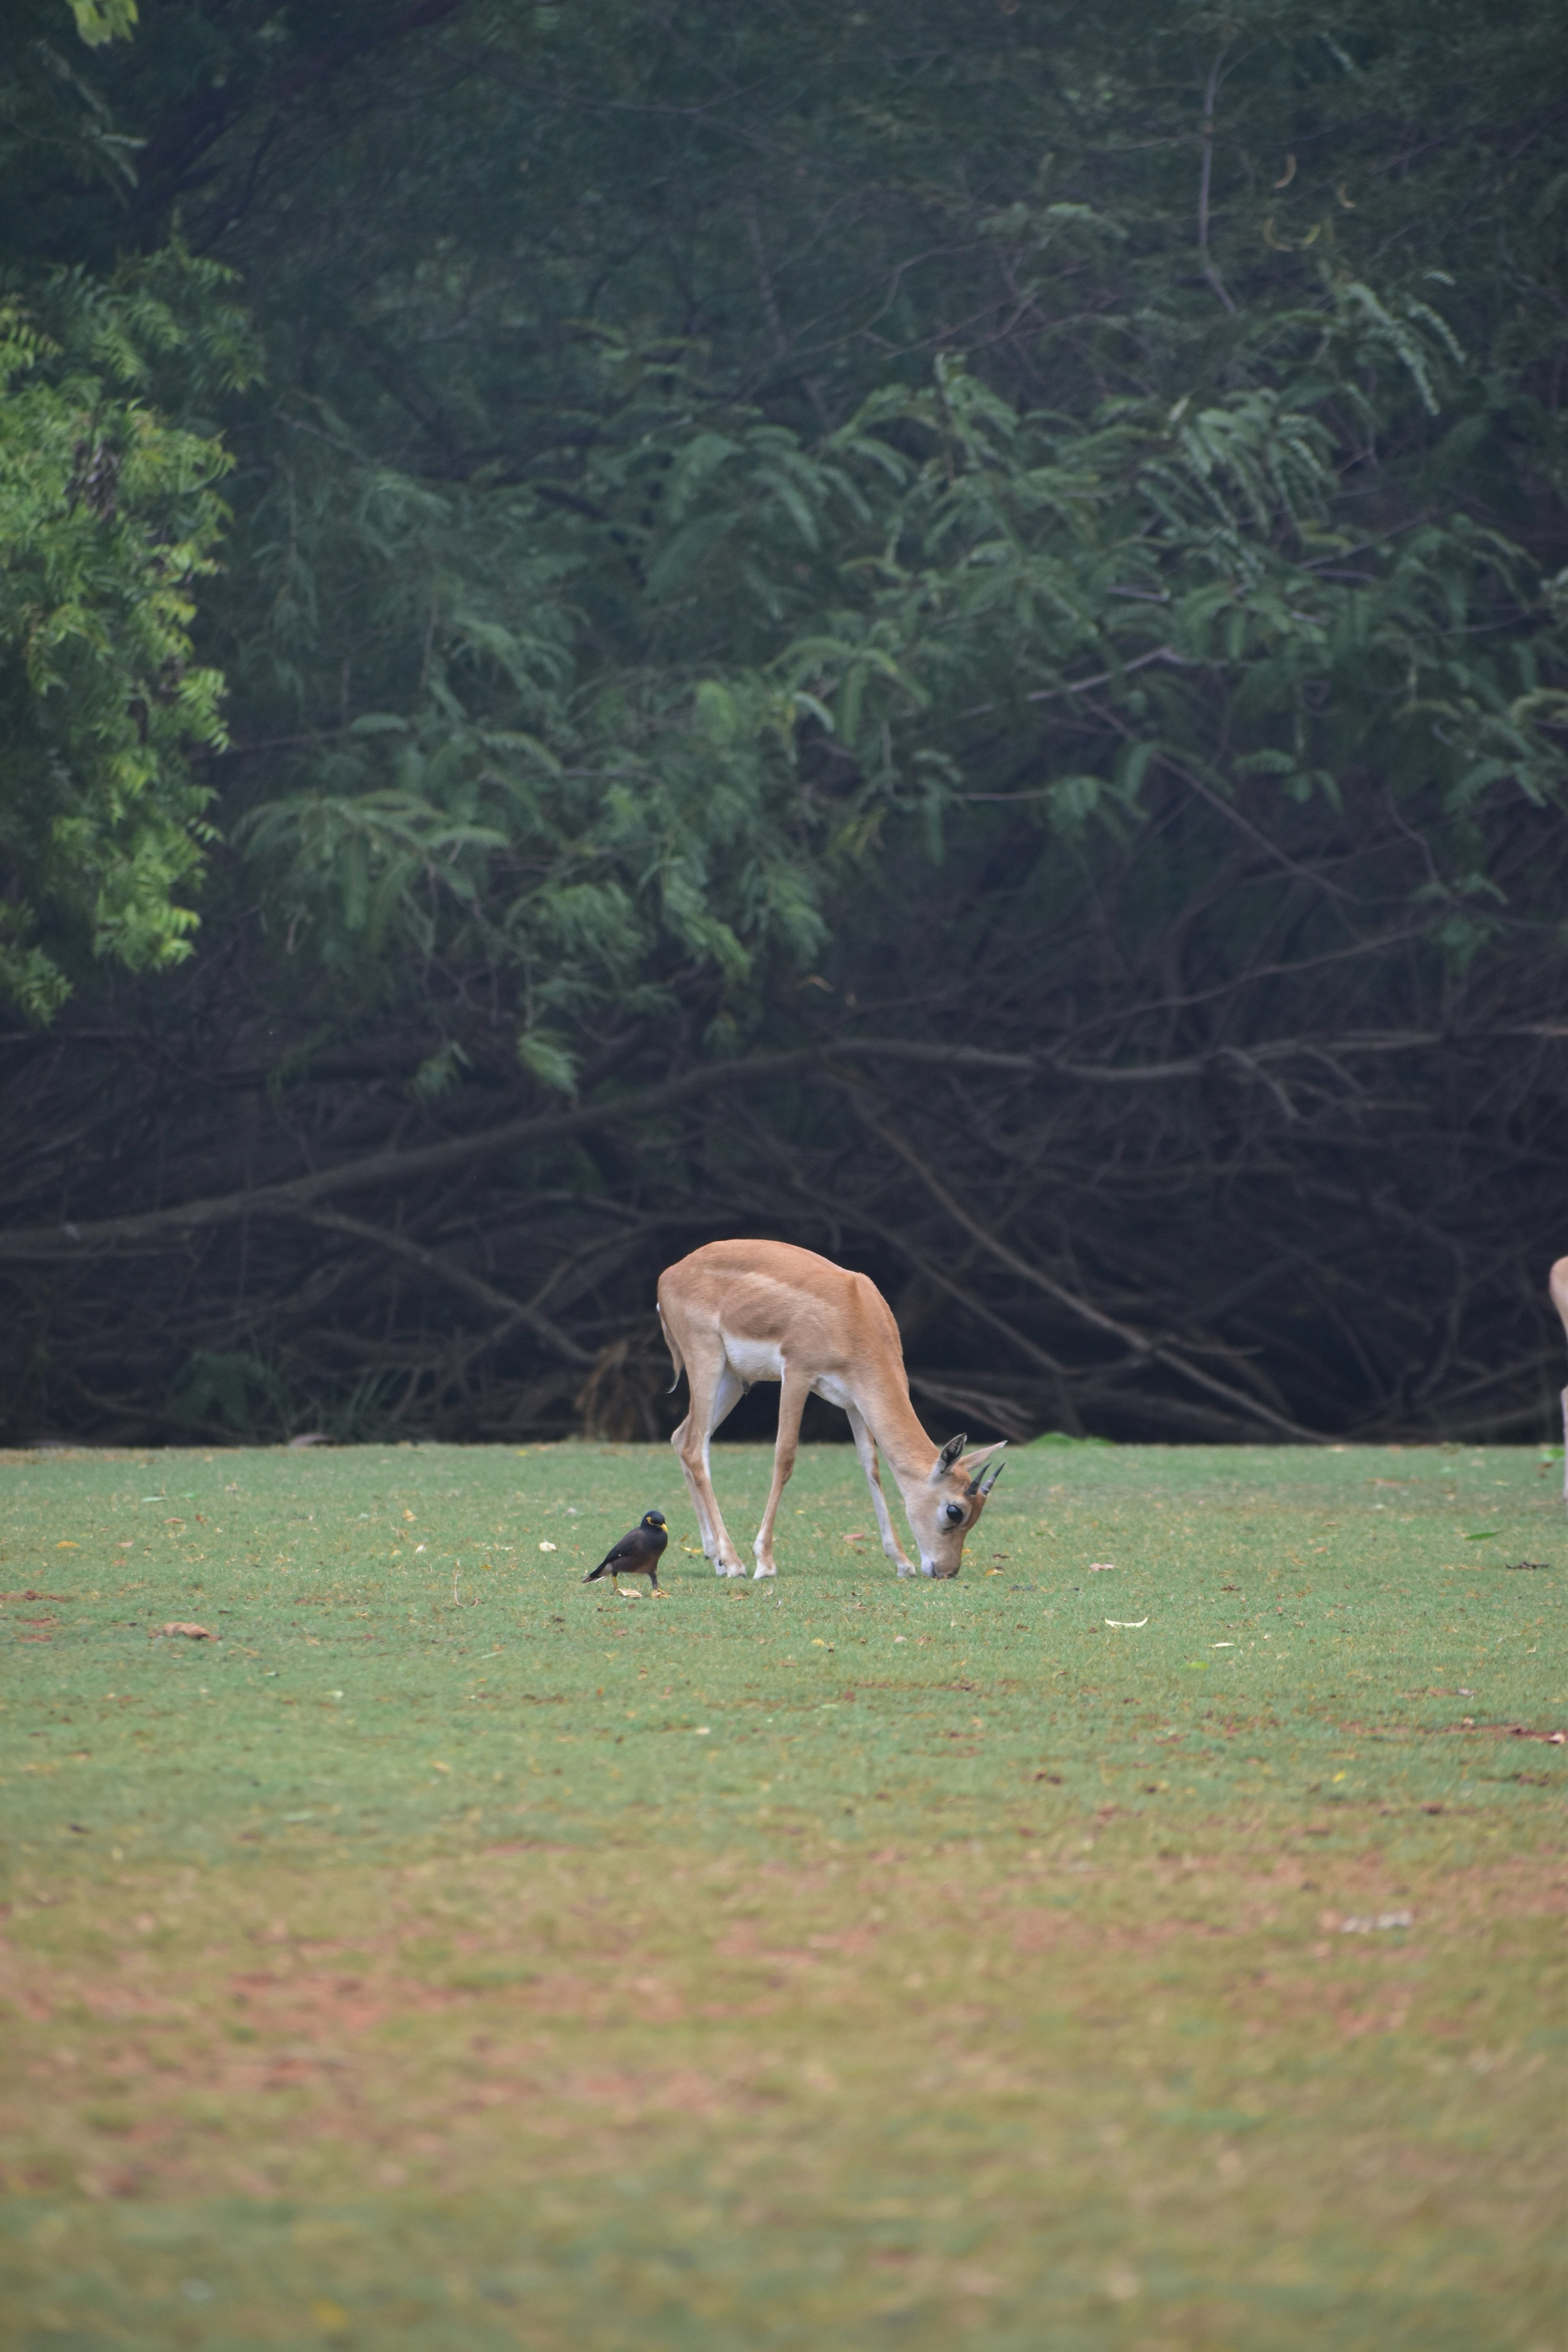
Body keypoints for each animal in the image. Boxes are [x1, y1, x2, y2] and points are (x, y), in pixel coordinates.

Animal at [657, 1239, 1006, 1579]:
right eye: (955, 1510)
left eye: (978, 1513)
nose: (947, 1571)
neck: (854, 1313)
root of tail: (668, 1275)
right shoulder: (797, 1374)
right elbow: (785, 1457)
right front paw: (765, 1563)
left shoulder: (855, 1399)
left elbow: (871, 1466)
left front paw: (902, 1562)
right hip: (707, 1358)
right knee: (694, 1446)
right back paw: (734, 1564)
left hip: (732, 1377)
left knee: (684, 1438)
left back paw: (716, 1557)